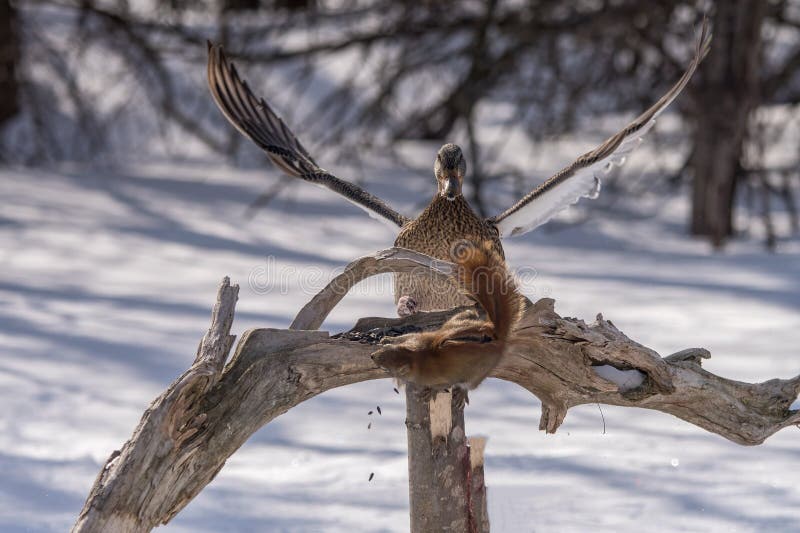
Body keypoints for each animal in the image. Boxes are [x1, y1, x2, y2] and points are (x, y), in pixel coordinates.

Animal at [371, 239, 524, 392]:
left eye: (386, 367)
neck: (418, 356)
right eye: (385, 350)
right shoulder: (419, 339)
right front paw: (388, 338)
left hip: (476, 373)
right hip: (456, 323)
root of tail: (495, 333)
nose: (372, 356)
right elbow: (407, 336)